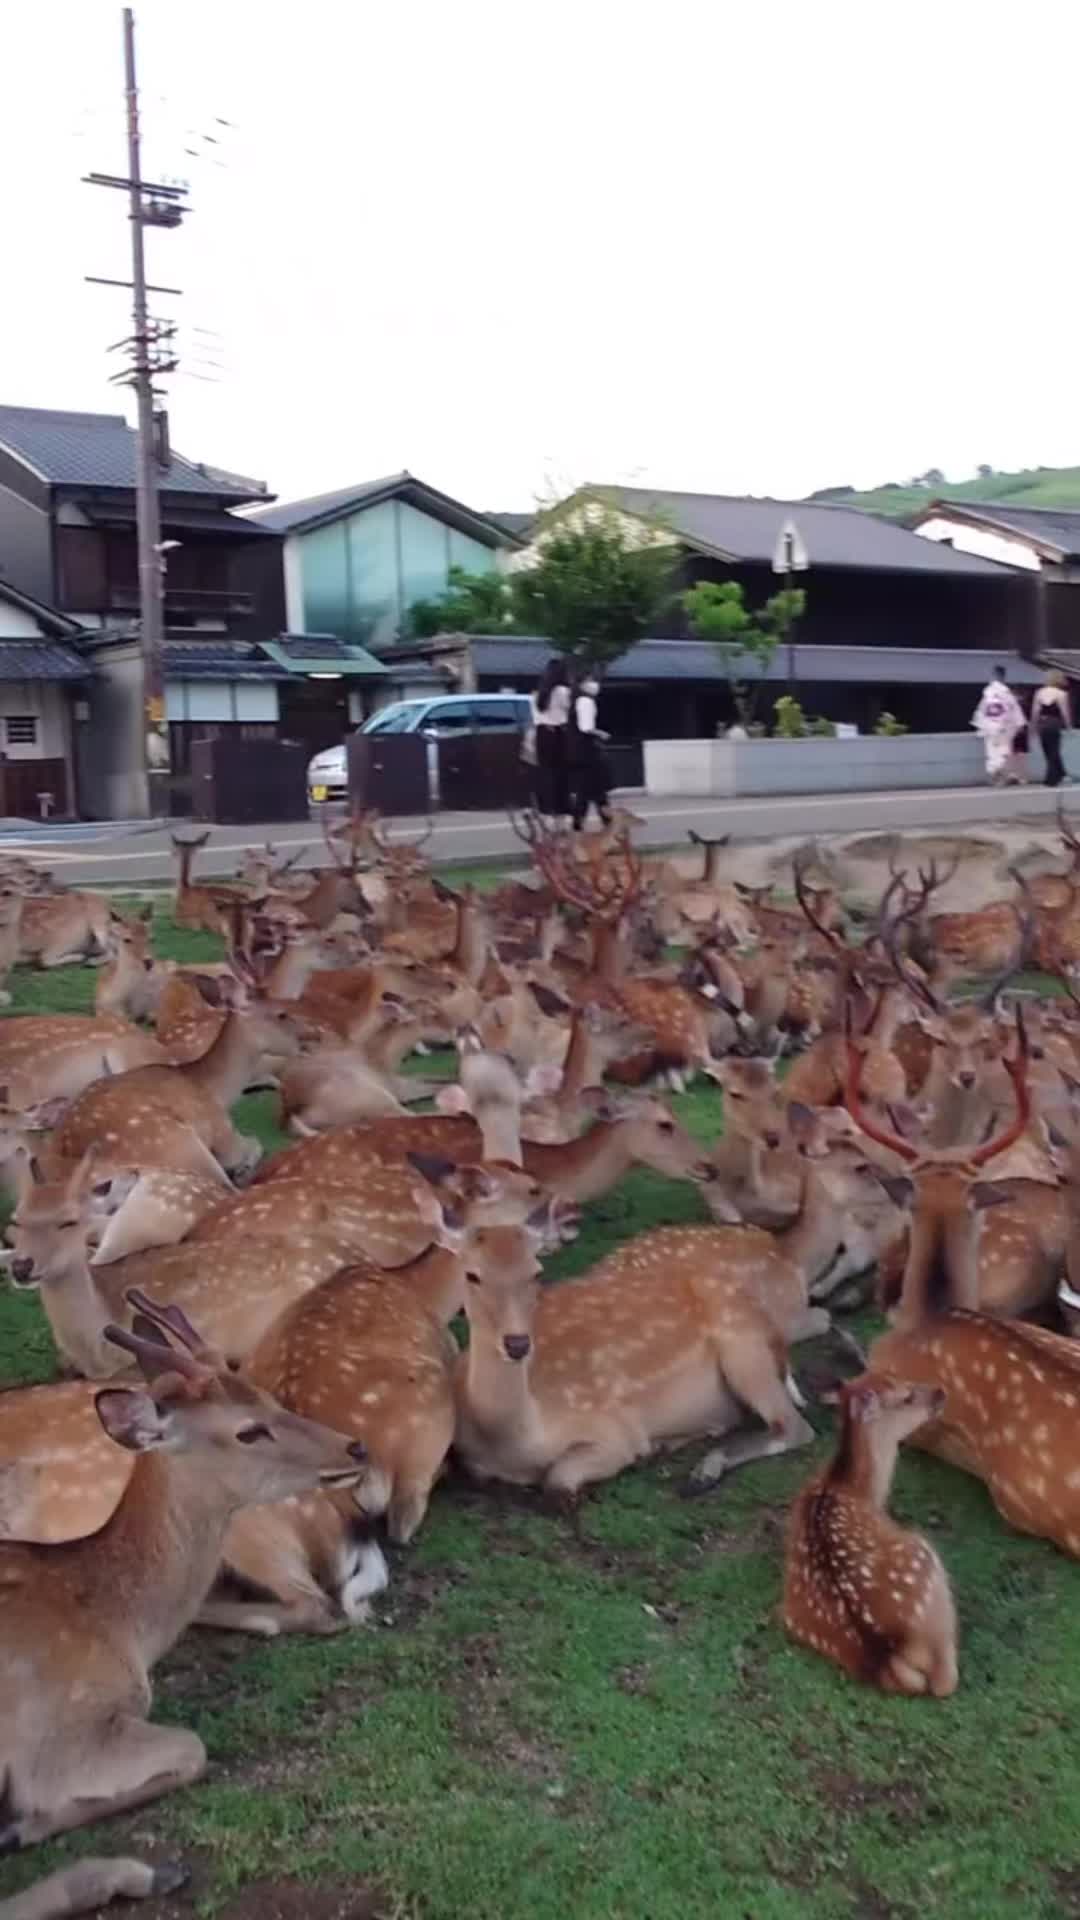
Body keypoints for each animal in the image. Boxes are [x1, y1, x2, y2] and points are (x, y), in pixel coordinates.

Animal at [0, 1290, 368, 1920]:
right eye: (249, 1432)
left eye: (267, 1395)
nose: (355, 1446)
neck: (119, 1622)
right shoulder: (53, 1736)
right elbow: (193, 1748)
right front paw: (29, 1820)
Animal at [776, 1374, 953, 1704]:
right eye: (906, 1396)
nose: (941, 1391)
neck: (859, 1489)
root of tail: (884, 1650)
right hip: (924, 1555)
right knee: (944, 1682)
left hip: (792, 1619)